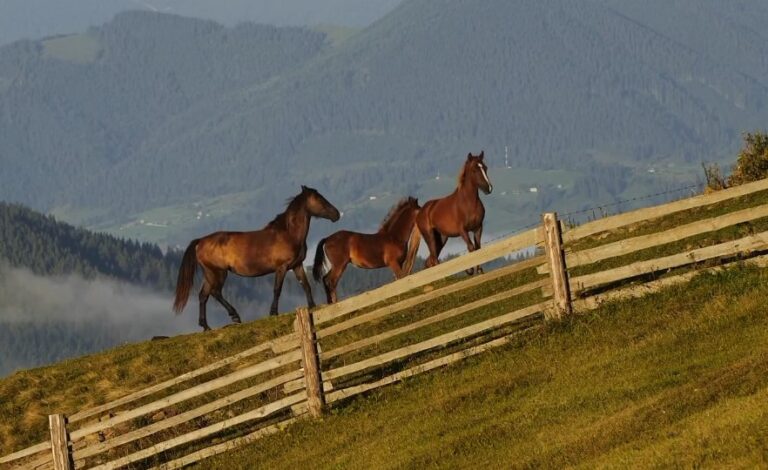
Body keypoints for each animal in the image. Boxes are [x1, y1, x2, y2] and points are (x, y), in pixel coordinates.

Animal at [173, 186, 340, 330]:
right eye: (319, 199)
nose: (336, 214)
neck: (288, 234)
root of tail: (200, 241)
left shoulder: (297, 265)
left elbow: (306, 285)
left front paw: (312, 306)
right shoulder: (282, 267)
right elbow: (277, 290)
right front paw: (273, 313)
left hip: (210, 273)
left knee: (203, 295)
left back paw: (206, 326)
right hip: (218, 272)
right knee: (215, 292)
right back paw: (235, 316)